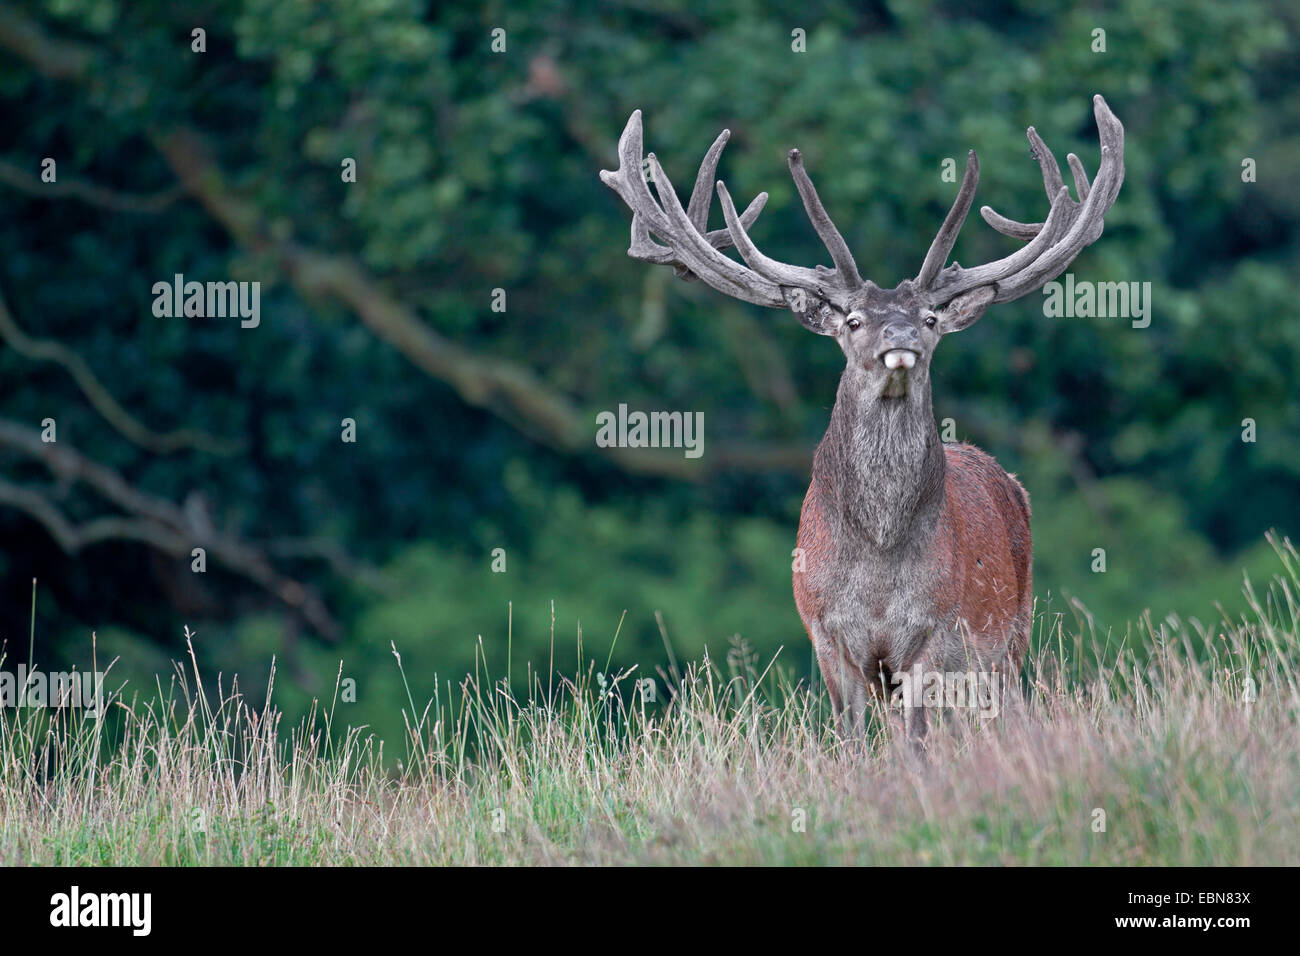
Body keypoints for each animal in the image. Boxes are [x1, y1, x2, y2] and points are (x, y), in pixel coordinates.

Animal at [601, 95, 1124, 740]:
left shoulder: (935, 633)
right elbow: (851, 737)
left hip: (1012, 632)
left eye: (929, 319)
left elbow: (916, 739)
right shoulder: (826, 634)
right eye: (852, 320)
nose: (900, 338)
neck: (876, 563)